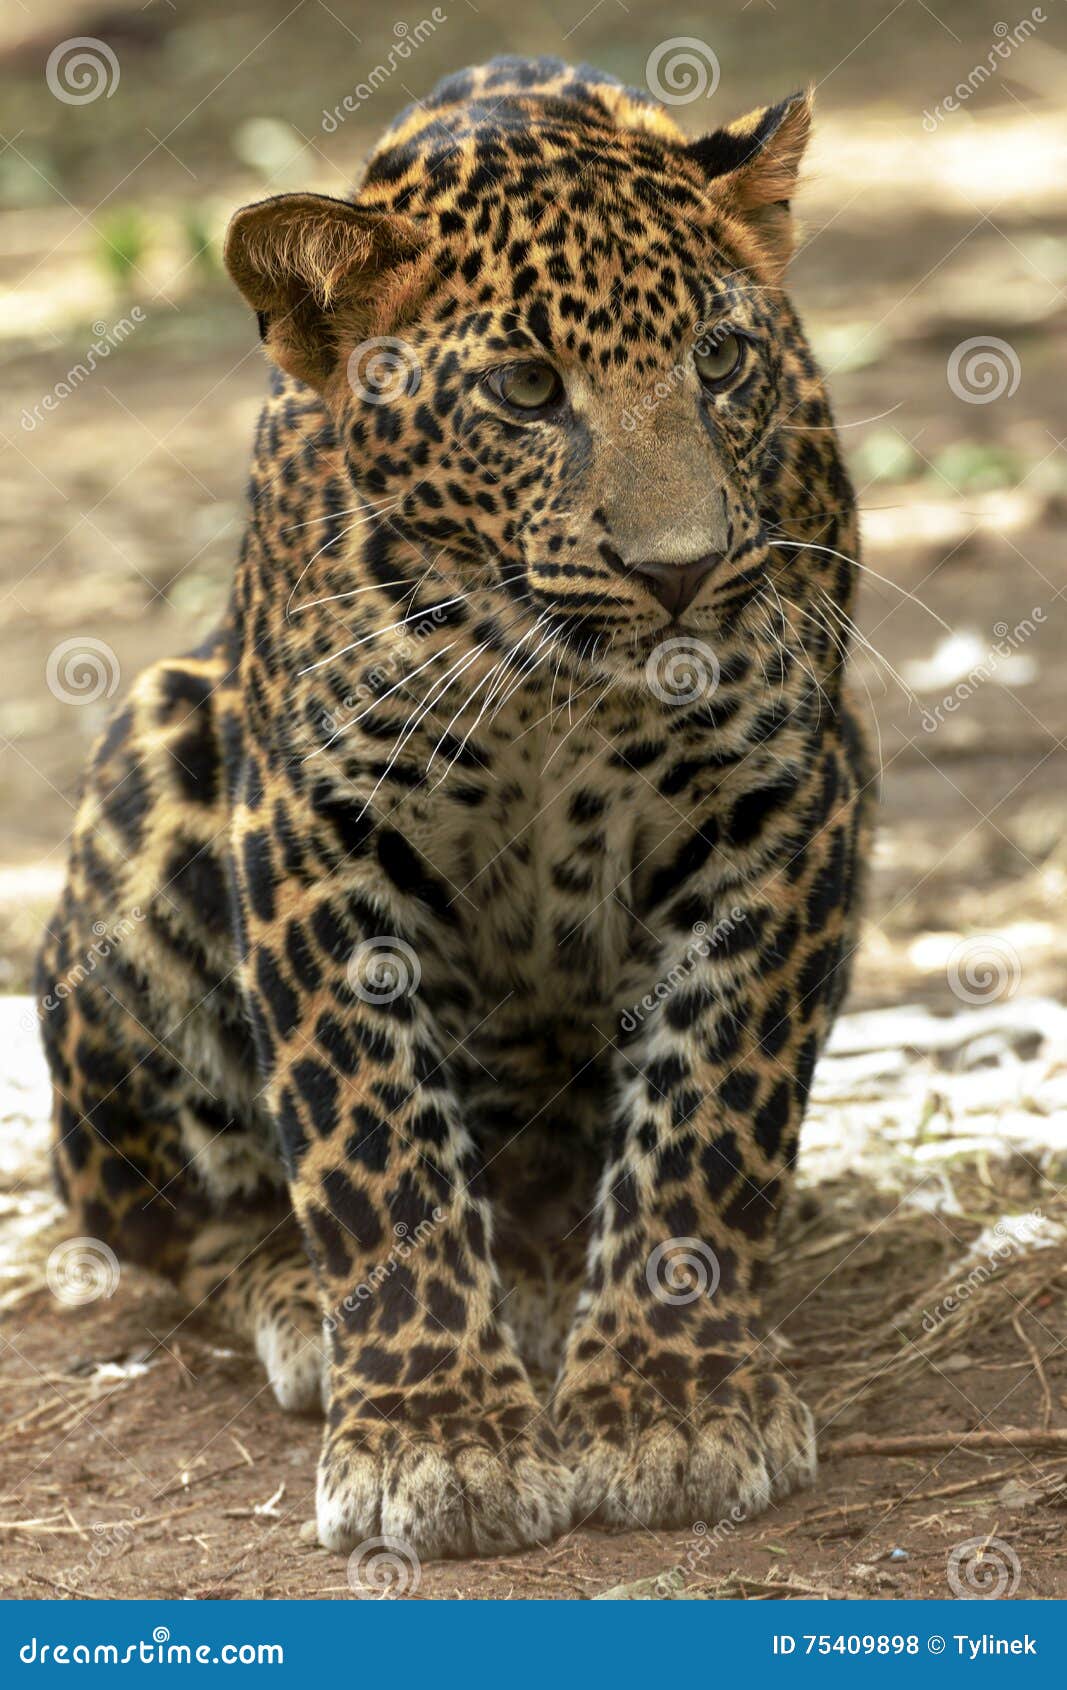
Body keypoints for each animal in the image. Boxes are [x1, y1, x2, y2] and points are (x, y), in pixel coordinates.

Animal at [37, 55, 875, 1561]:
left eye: (720, 361)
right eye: (525, 389)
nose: (681, 571)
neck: (551, 674)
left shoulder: (778, 800)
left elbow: (708, 1114)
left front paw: (671, 1401)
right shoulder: (315, 832)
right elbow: (370, 1142)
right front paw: (435, 1431)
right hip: (158, 748)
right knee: (171, 1217)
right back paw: (306, 1299)